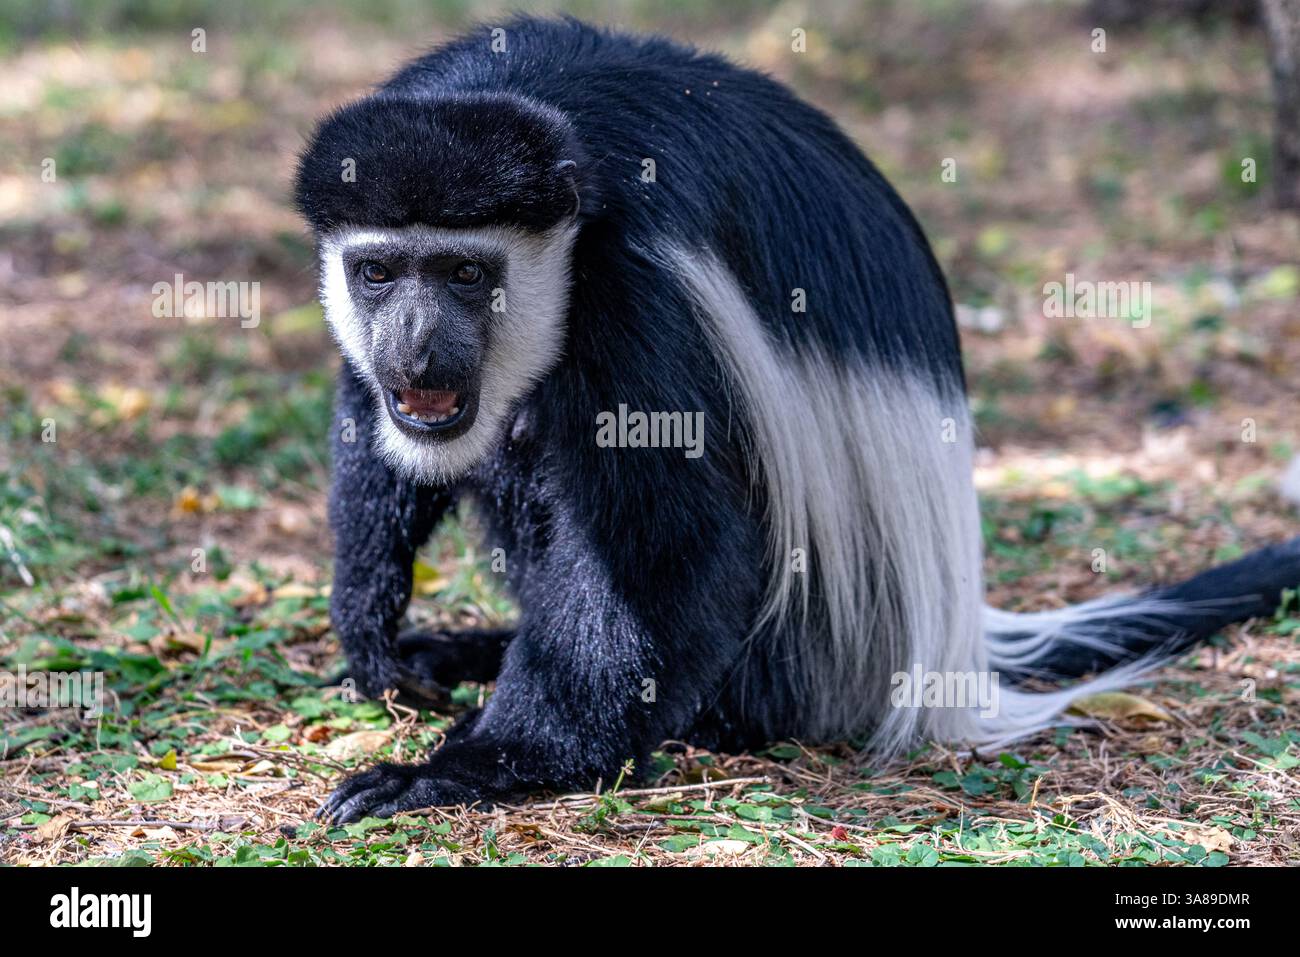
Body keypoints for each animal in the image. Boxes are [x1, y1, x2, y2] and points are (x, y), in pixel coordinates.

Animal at [293, 16, 1300, 823]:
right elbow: (364, 415)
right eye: (378, 272)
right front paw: (372, 629)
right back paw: (468, 647)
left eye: (468, 274)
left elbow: (669, 549)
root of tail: (948, 649)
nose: (417, 350)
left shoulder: (634, 293)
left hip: (797, 649)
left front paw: (474, 767)